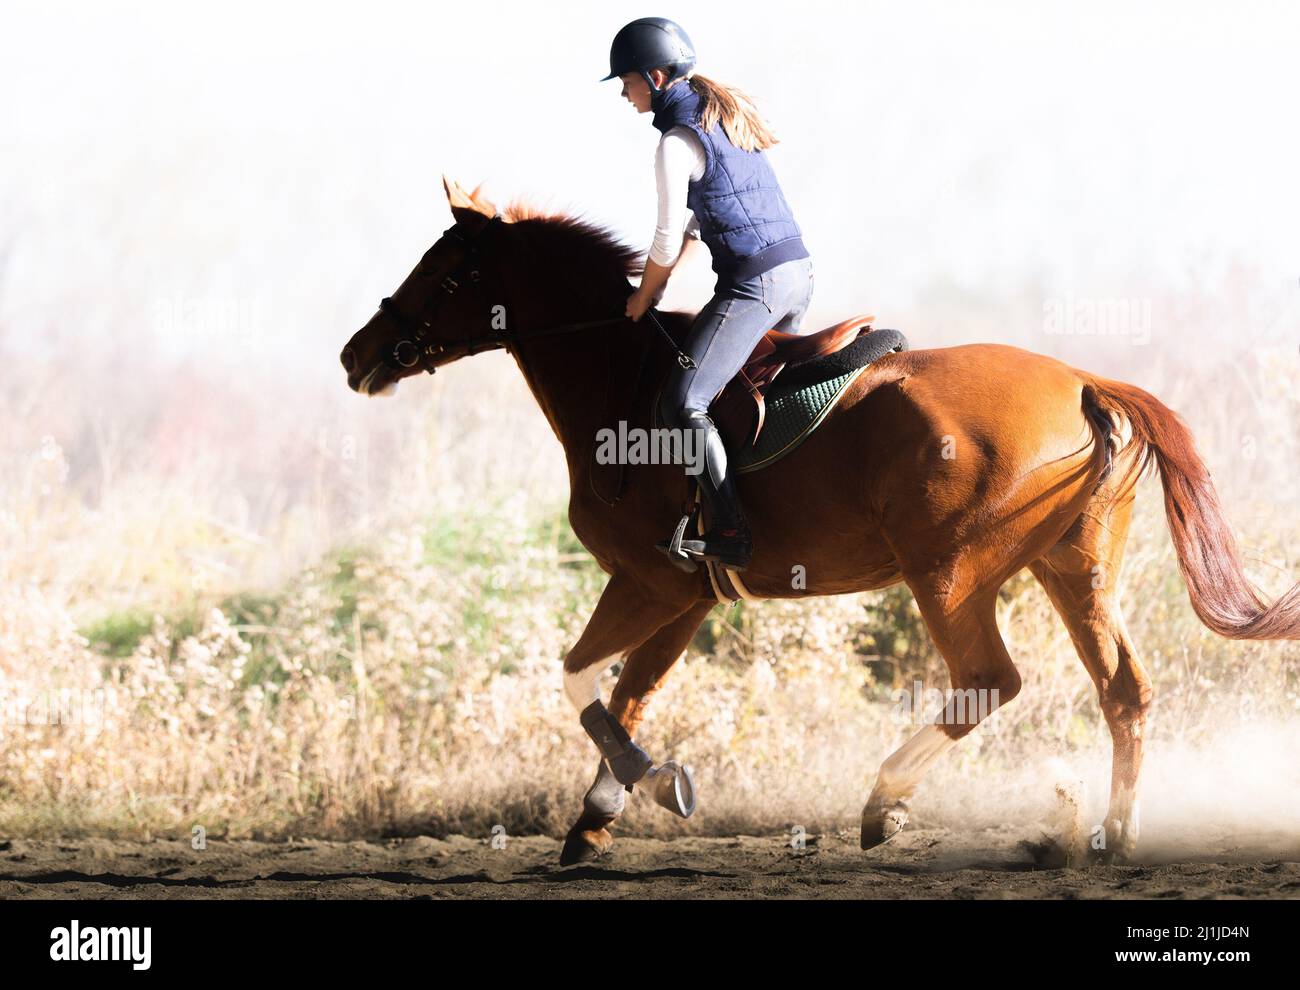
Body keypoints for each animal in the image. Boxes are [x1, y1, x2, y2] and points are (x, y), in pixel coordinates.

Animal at [339, 176, 1300, 867]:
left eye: (448, 272)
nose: (356, 355)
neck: (622, 383)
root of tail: (1082, 381)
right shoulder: (685, 597)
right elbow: (628, 694)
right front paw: (600, 817)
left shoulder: (651, 582)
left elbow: (581, 679)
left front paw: (654, 785)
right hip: (1074, 567)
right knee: (1124, 691)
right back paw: (1115, 835)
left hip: (949, 574)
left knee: (989, 679)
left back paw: (884, 805)